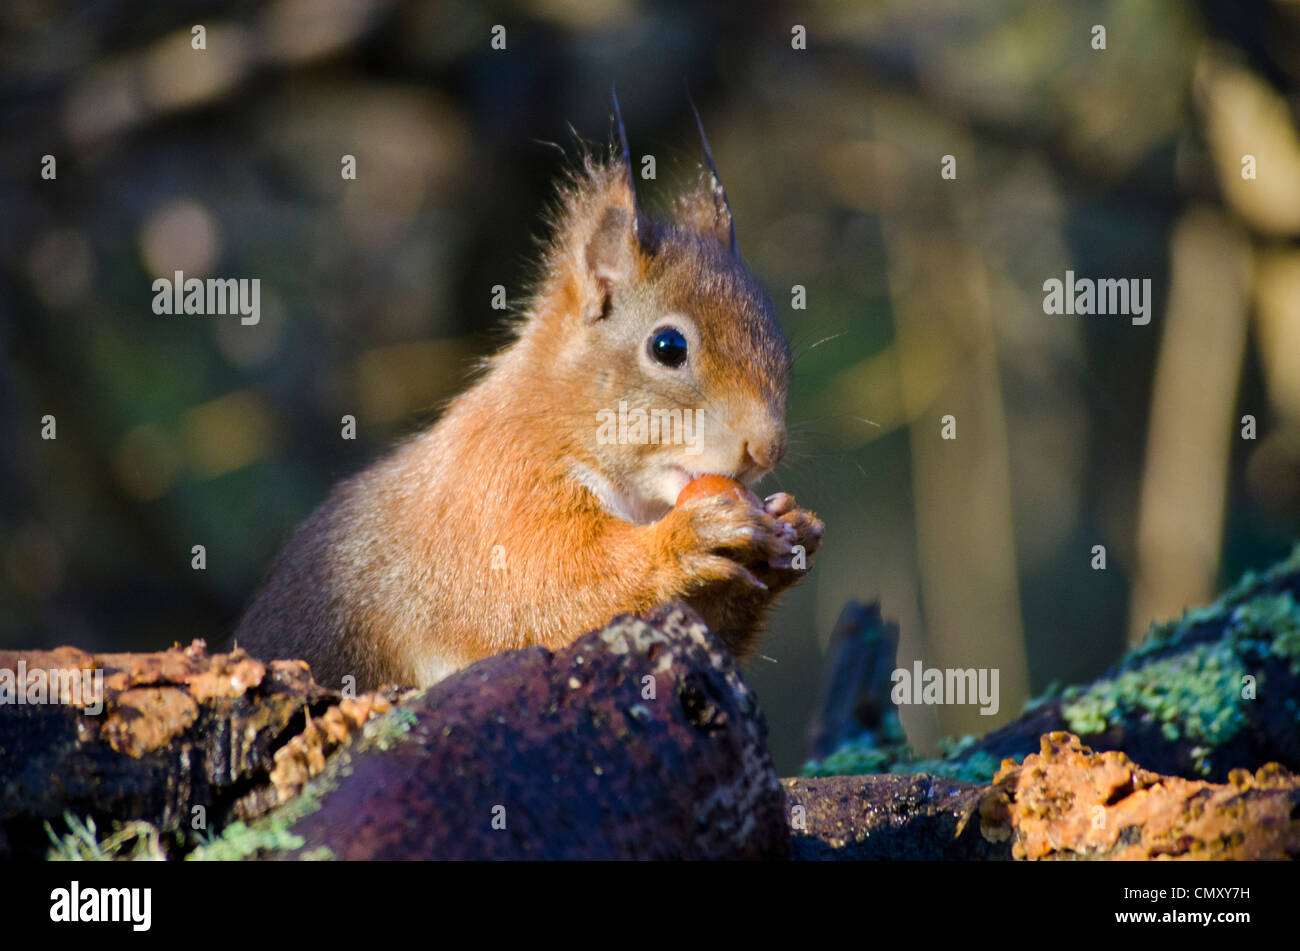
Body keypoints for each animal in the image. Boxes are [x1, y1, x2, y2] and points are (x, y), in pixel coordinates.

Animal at [233, 103, 824, 690]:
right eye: (668, 347)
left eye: (781, 344)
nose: (766, 449)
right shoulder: (498, 496)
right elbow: (545, 589)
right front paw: (691, 538)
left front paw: (796, 529)